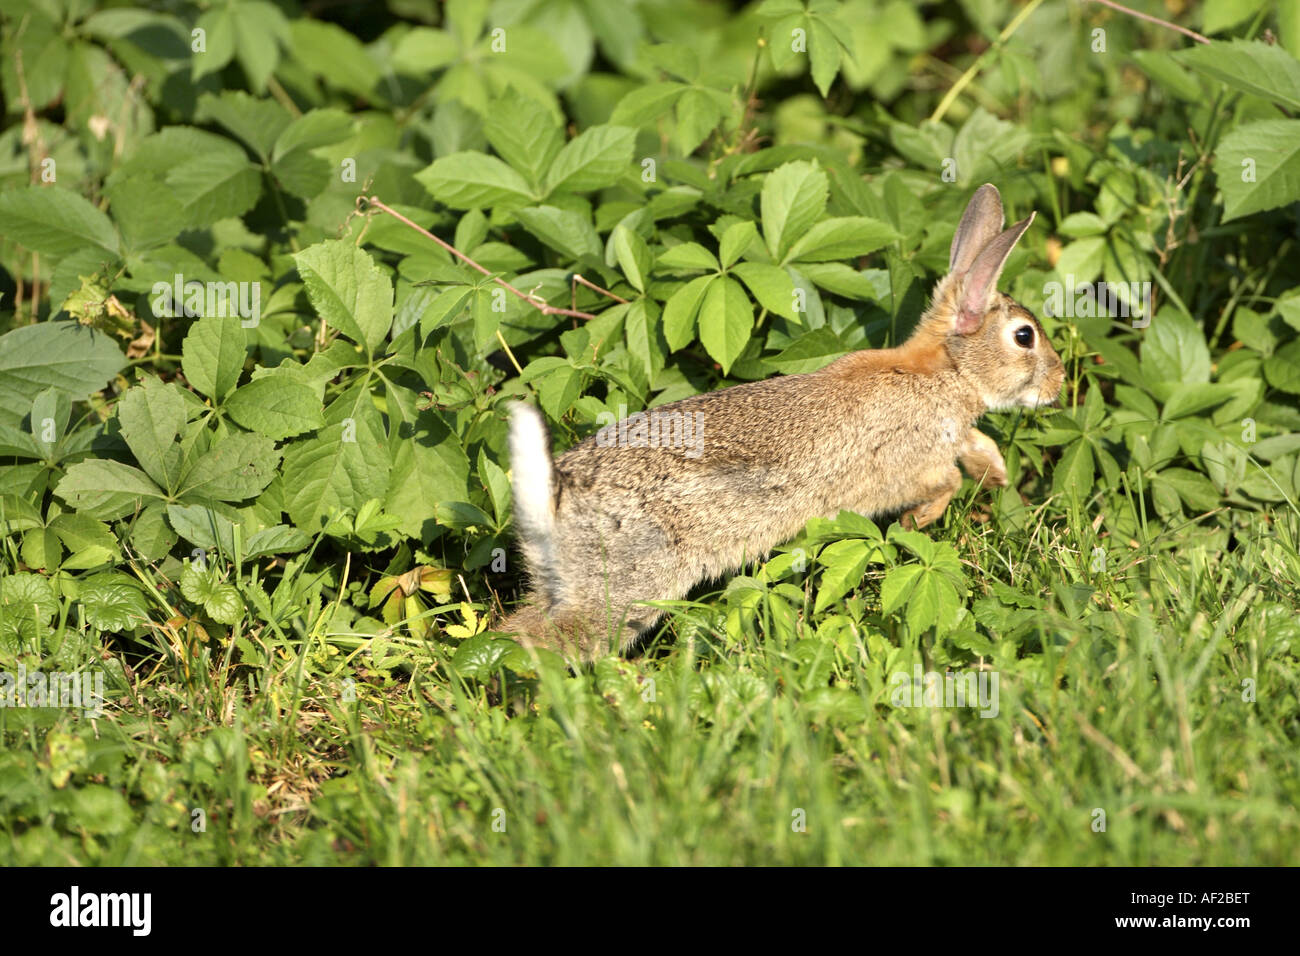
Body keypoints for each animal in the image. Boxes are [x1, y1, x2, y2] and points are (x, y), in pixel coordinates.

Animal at [500, 183, 1065, 662]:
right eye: (1024, 337)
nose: (1059, 383)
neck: (947, 371)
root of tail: (553, 501)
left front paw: (994, 475)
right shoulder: (907, 465)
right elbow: (943, 481)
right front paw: (920, 521)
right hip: (630, 577)